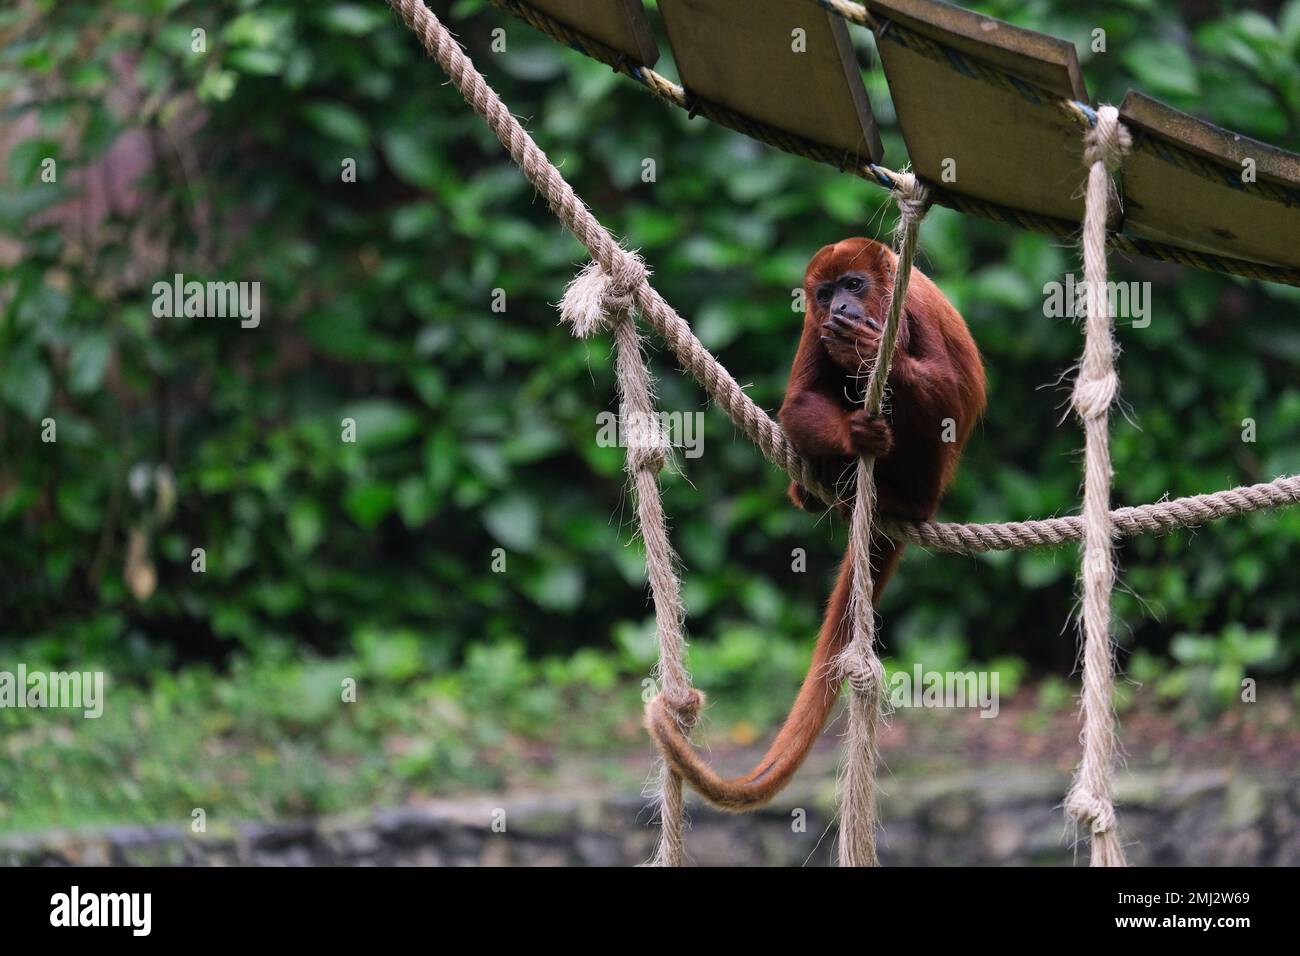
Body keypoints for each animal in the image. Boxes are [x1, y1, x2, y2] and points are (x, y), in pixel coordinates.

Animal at [646, 237, 986, 811]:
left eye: (854, 284)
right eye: (825, 293)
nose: (841, 306)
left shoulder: (911, 307)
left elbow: (954, 397)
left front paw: (871, 352)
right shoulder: (814, 322)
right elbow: (800, 401)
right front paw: (853, 434)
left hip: (928, 483)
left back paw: (895, 496)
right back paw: (821, 483)